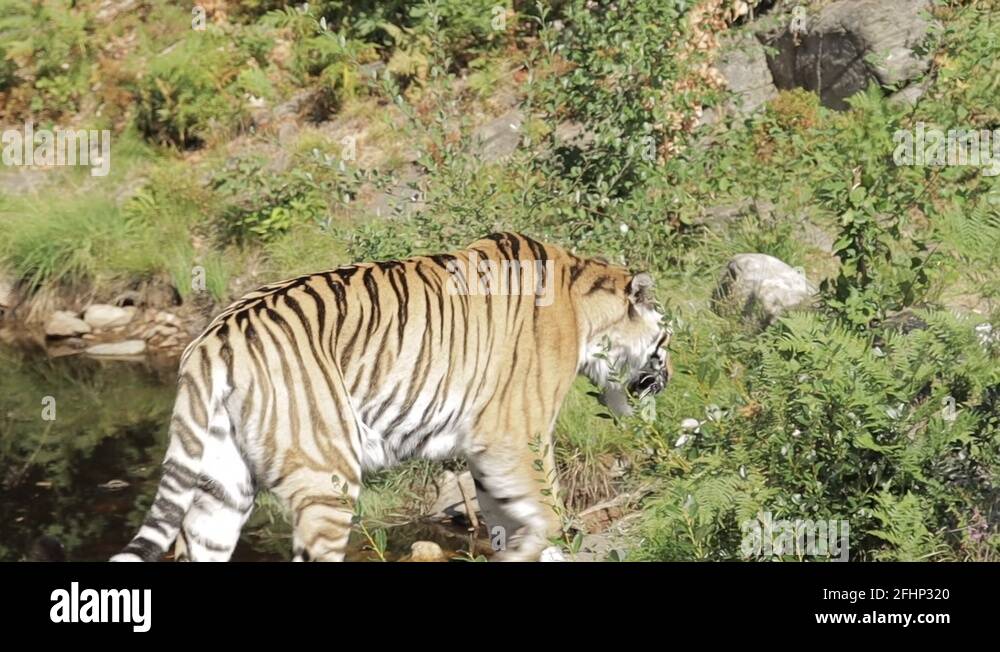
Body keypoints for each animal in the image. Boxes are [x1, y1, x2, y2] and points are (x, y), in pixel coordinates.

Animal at [111, 232, 671, 562]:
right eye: (665, 341)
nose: (668, 380)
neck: (584, 311)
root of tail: (211, 336)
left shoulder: (486, 450)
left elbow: (503, 517)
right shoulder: (516, 434)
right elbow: (548, 510)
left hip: (220, 486)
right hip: (325, 477)